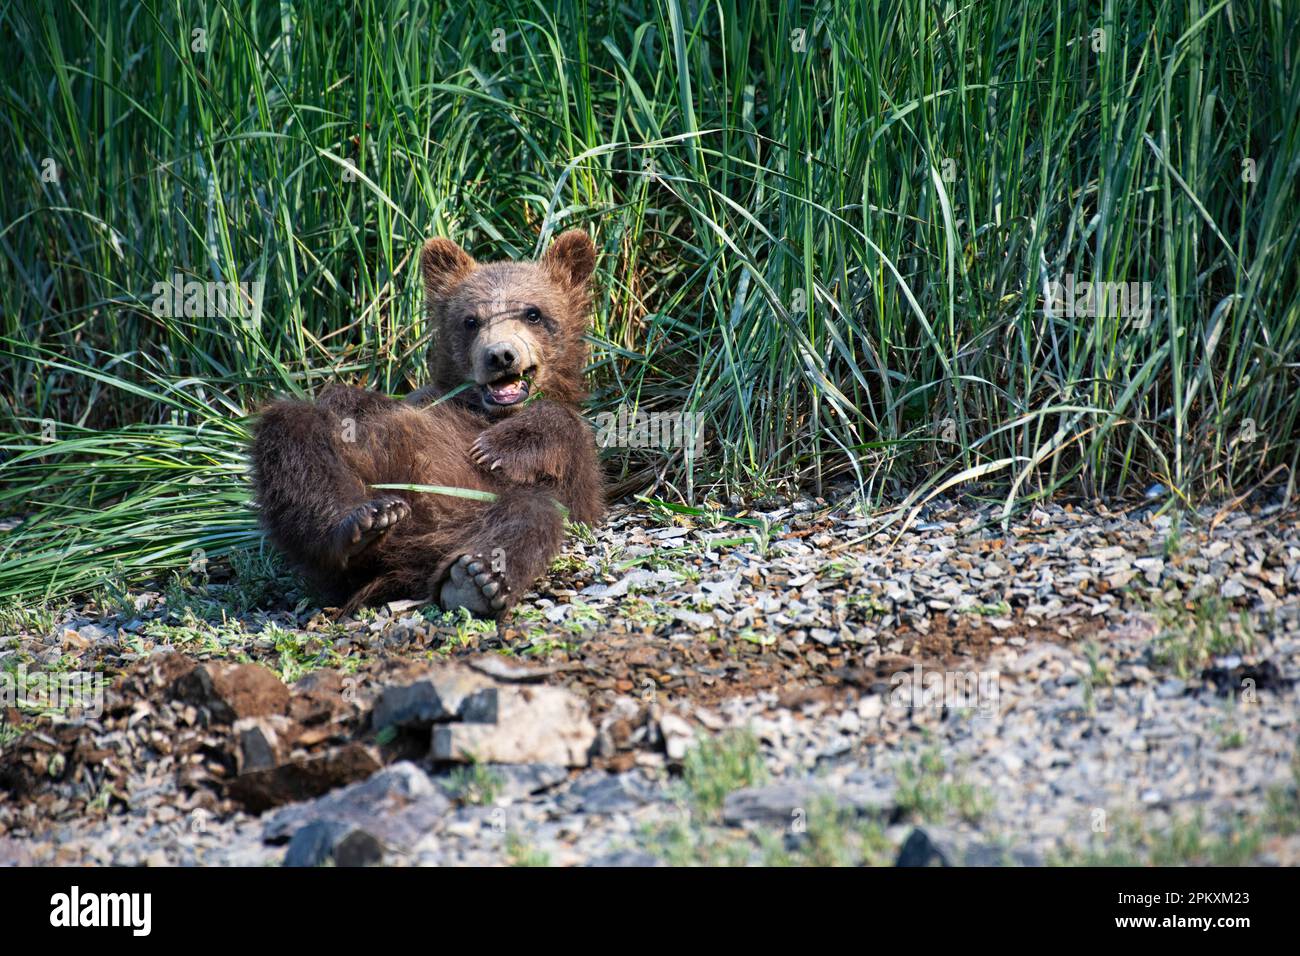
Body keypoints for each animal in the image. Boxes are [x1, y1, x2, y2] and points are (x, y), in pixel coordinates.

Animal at [249, 229, 605, 618]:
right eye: (470, 320)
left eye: (533, 313)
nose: (500, 355)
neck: (487, 410)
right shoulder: (425, 401)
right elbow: (359, 407)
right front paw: (345, 399)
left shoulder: (575, 475)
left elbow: (573, 462)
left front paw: (496, 448)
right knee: (293, 437)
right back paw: (365, 521)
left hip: (485, 509)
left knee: (531, 513)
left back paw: (478, 579)